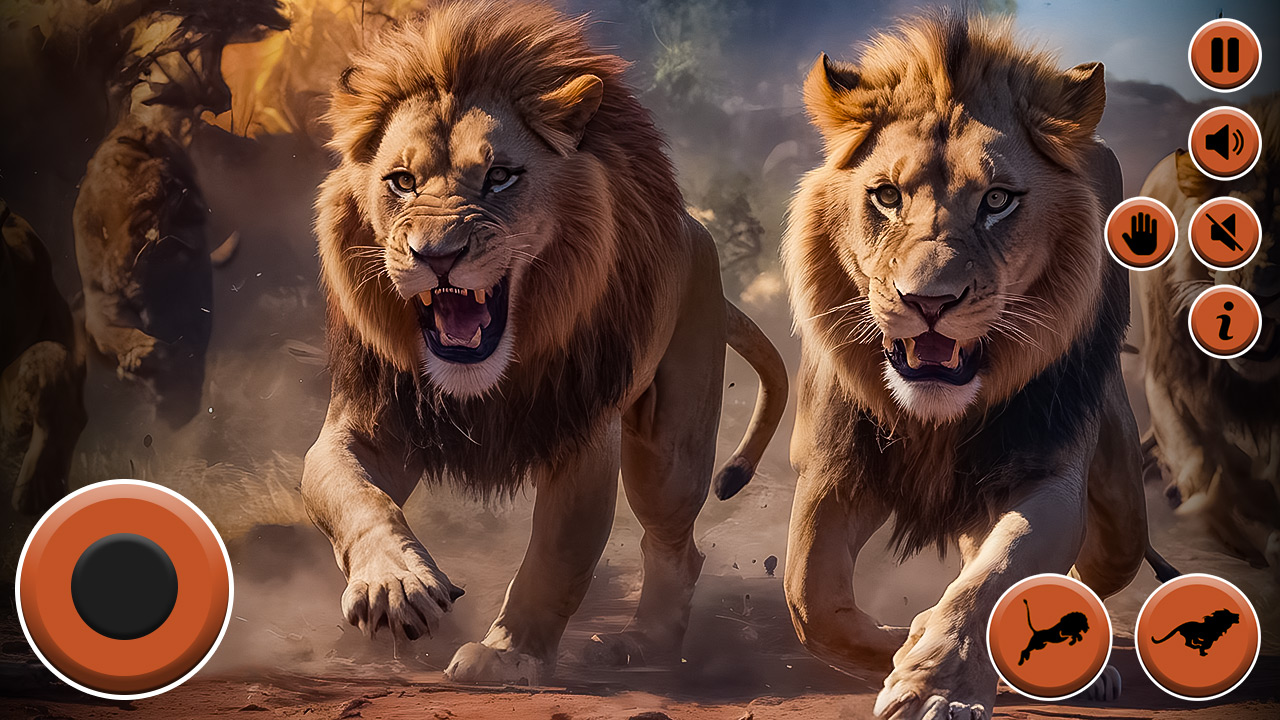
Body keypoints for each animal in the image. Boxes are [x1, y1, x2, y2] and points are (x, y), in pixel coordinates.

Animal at [301, 0, 787, 685]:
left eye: (501, 177)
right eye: (400, 182)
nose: (436, 255)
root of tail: (691, 226)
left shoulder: (583, 435)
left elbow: (555, 557)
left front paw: (509, 655)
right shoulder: (368, 423)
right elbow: (353, 496)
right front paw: (395, 585)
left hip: (669, 449)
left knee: (674, 545)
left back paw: (645, 643)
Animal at [781, 11, 1174, 718]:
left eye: (997, 201)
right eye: (886, 197)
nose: (928, 301)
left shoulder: (1045, 468)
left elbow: (997, 574)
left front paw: (932, 684)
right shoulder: (834, 469)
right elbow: (810, 603)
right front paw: (904, 642)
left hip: (1121, 497)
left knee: (1104, 559)